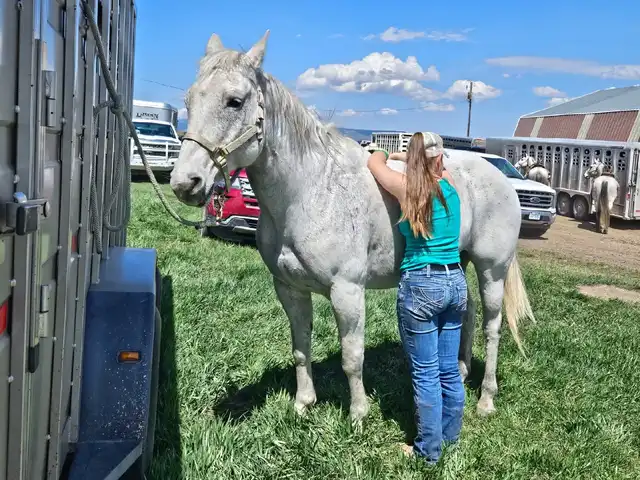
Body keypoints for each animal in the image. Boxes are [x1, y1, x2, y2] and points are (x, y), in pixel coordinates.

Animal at [169, 31, 535, 422]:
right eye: (189, 100)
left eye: (235, 102)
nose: (185, 183)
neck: (310, 191)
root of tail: (501, 178)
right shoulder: (289, 289)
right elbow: (300, 346)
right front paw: (303, 403)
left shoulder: (346, 291)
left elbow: (351, 356)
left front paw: (358, 413)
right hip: (459, 263)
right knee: (466, 317)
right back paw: (462, 373)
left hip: (491, 270)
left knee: (492, 327)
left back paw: (485, 399)